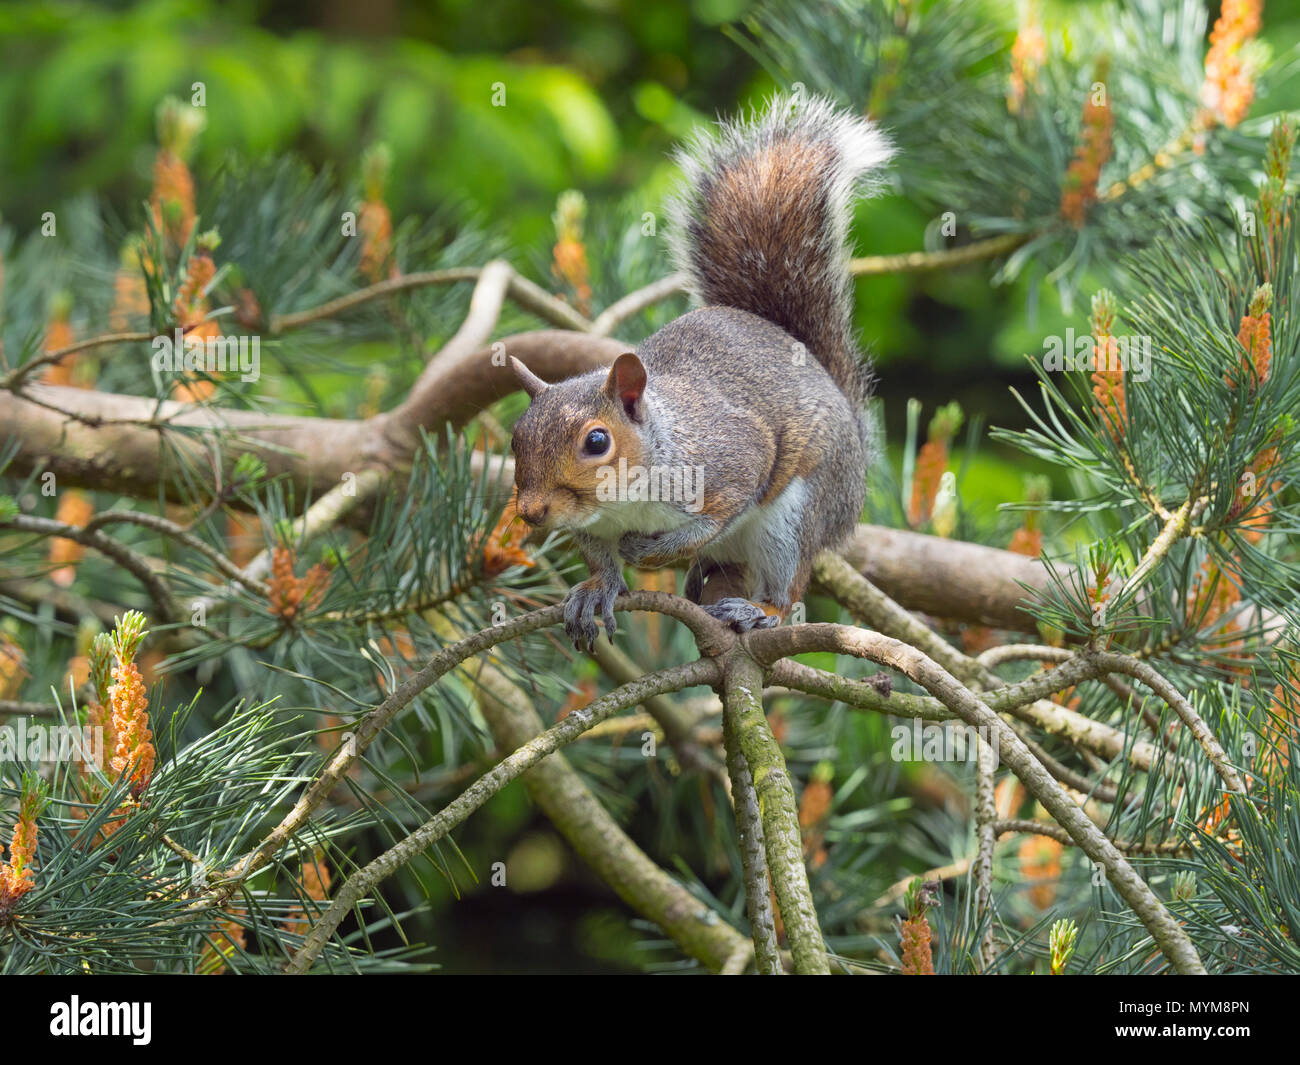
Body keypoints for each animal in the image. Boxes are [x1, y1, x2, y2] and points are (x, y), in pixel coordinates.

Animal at [509, 94, 894, 651]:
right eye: (515, 438)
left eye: (597, 442)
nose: (532, 513)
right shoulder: (591, 524)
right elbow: (600, 558)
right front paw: (598, 588)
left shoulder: (730, 458)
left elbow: (719, 511)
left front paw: (655, 550)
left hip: (801, 511)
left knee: (789, 580)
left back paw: (760, 610)